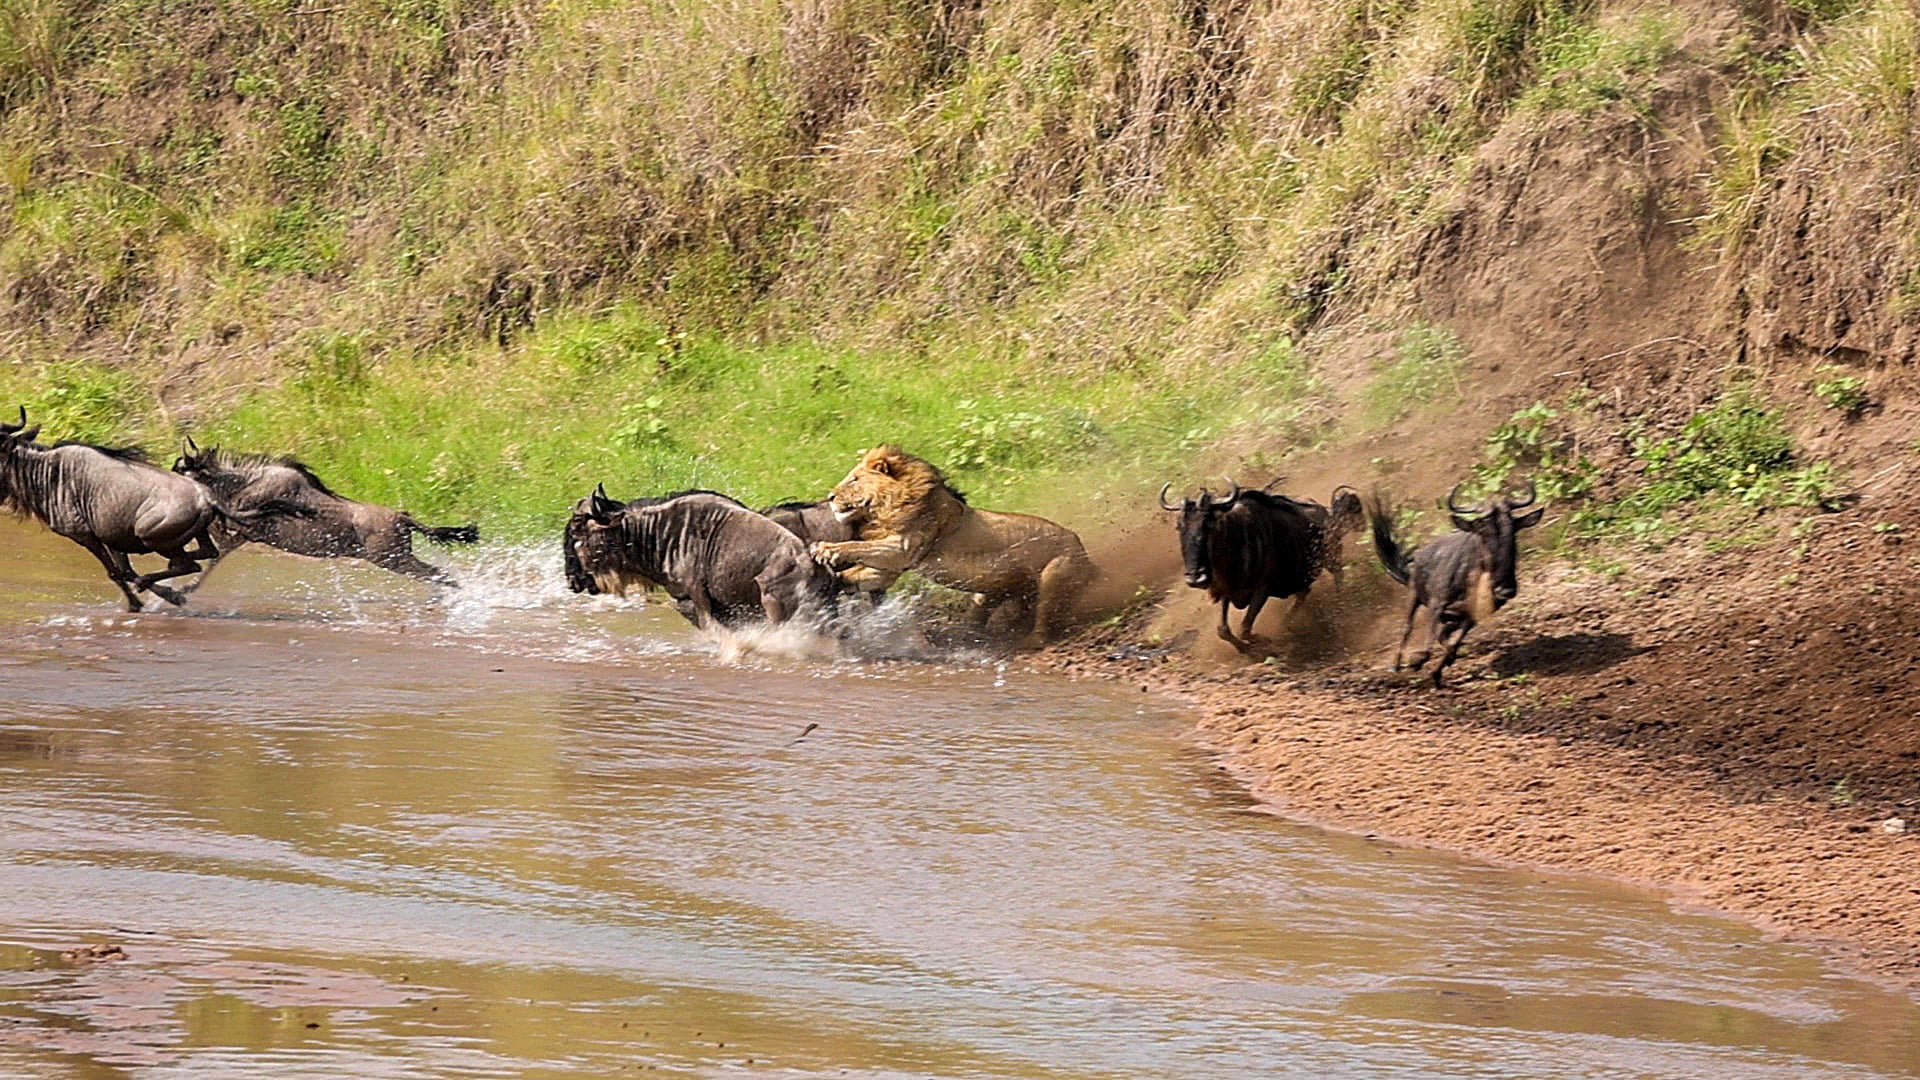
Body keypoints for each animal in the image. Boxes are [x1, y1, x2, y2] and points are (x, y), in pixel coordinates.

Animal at [807, 445, 1097, 647]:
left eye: (854, 479)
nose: (830, 497)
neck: (886, 508)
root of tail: (1084, 550)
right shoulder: (887, 569)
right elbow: (858, 572)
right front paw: (832, 578)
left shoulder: (902, 547)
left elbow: (857, 545)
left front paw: (826, 549)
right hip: (992, 590)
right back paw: (964, 635)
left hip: (1054, 577)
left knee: (1045, 624)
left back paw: (1027, 642)